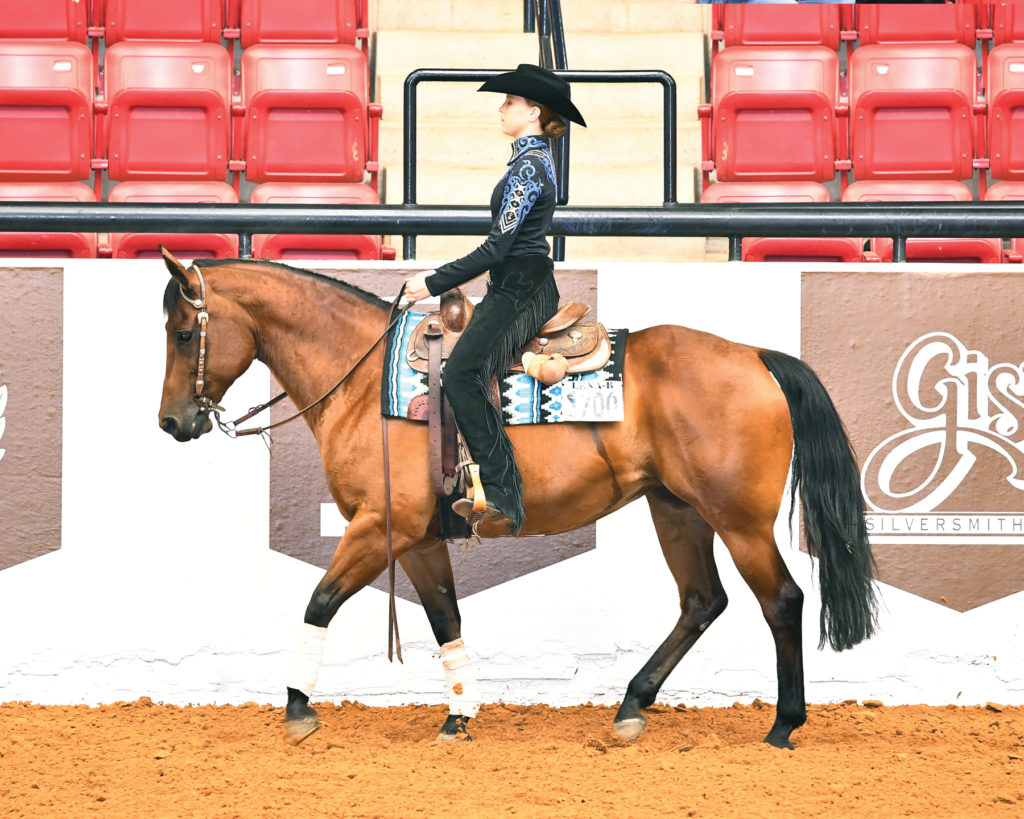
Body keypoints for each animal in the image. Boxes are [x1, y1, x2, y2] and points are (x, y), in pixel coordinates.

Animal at [157, 250, 878, 749]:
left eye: (185, 333)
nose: (172, 422)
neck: (362, 380)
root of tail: (755, 356)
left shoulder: (380, 526)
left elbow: (320, 601)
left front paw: (298, 708)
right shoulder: (418, 538)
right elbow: (445, 619)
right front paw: (458, 716)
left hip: (739, 519)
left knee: (781, 600)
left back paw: (782, 726)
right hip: (676, 509)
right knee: (703, 601)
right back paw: (632, 707)